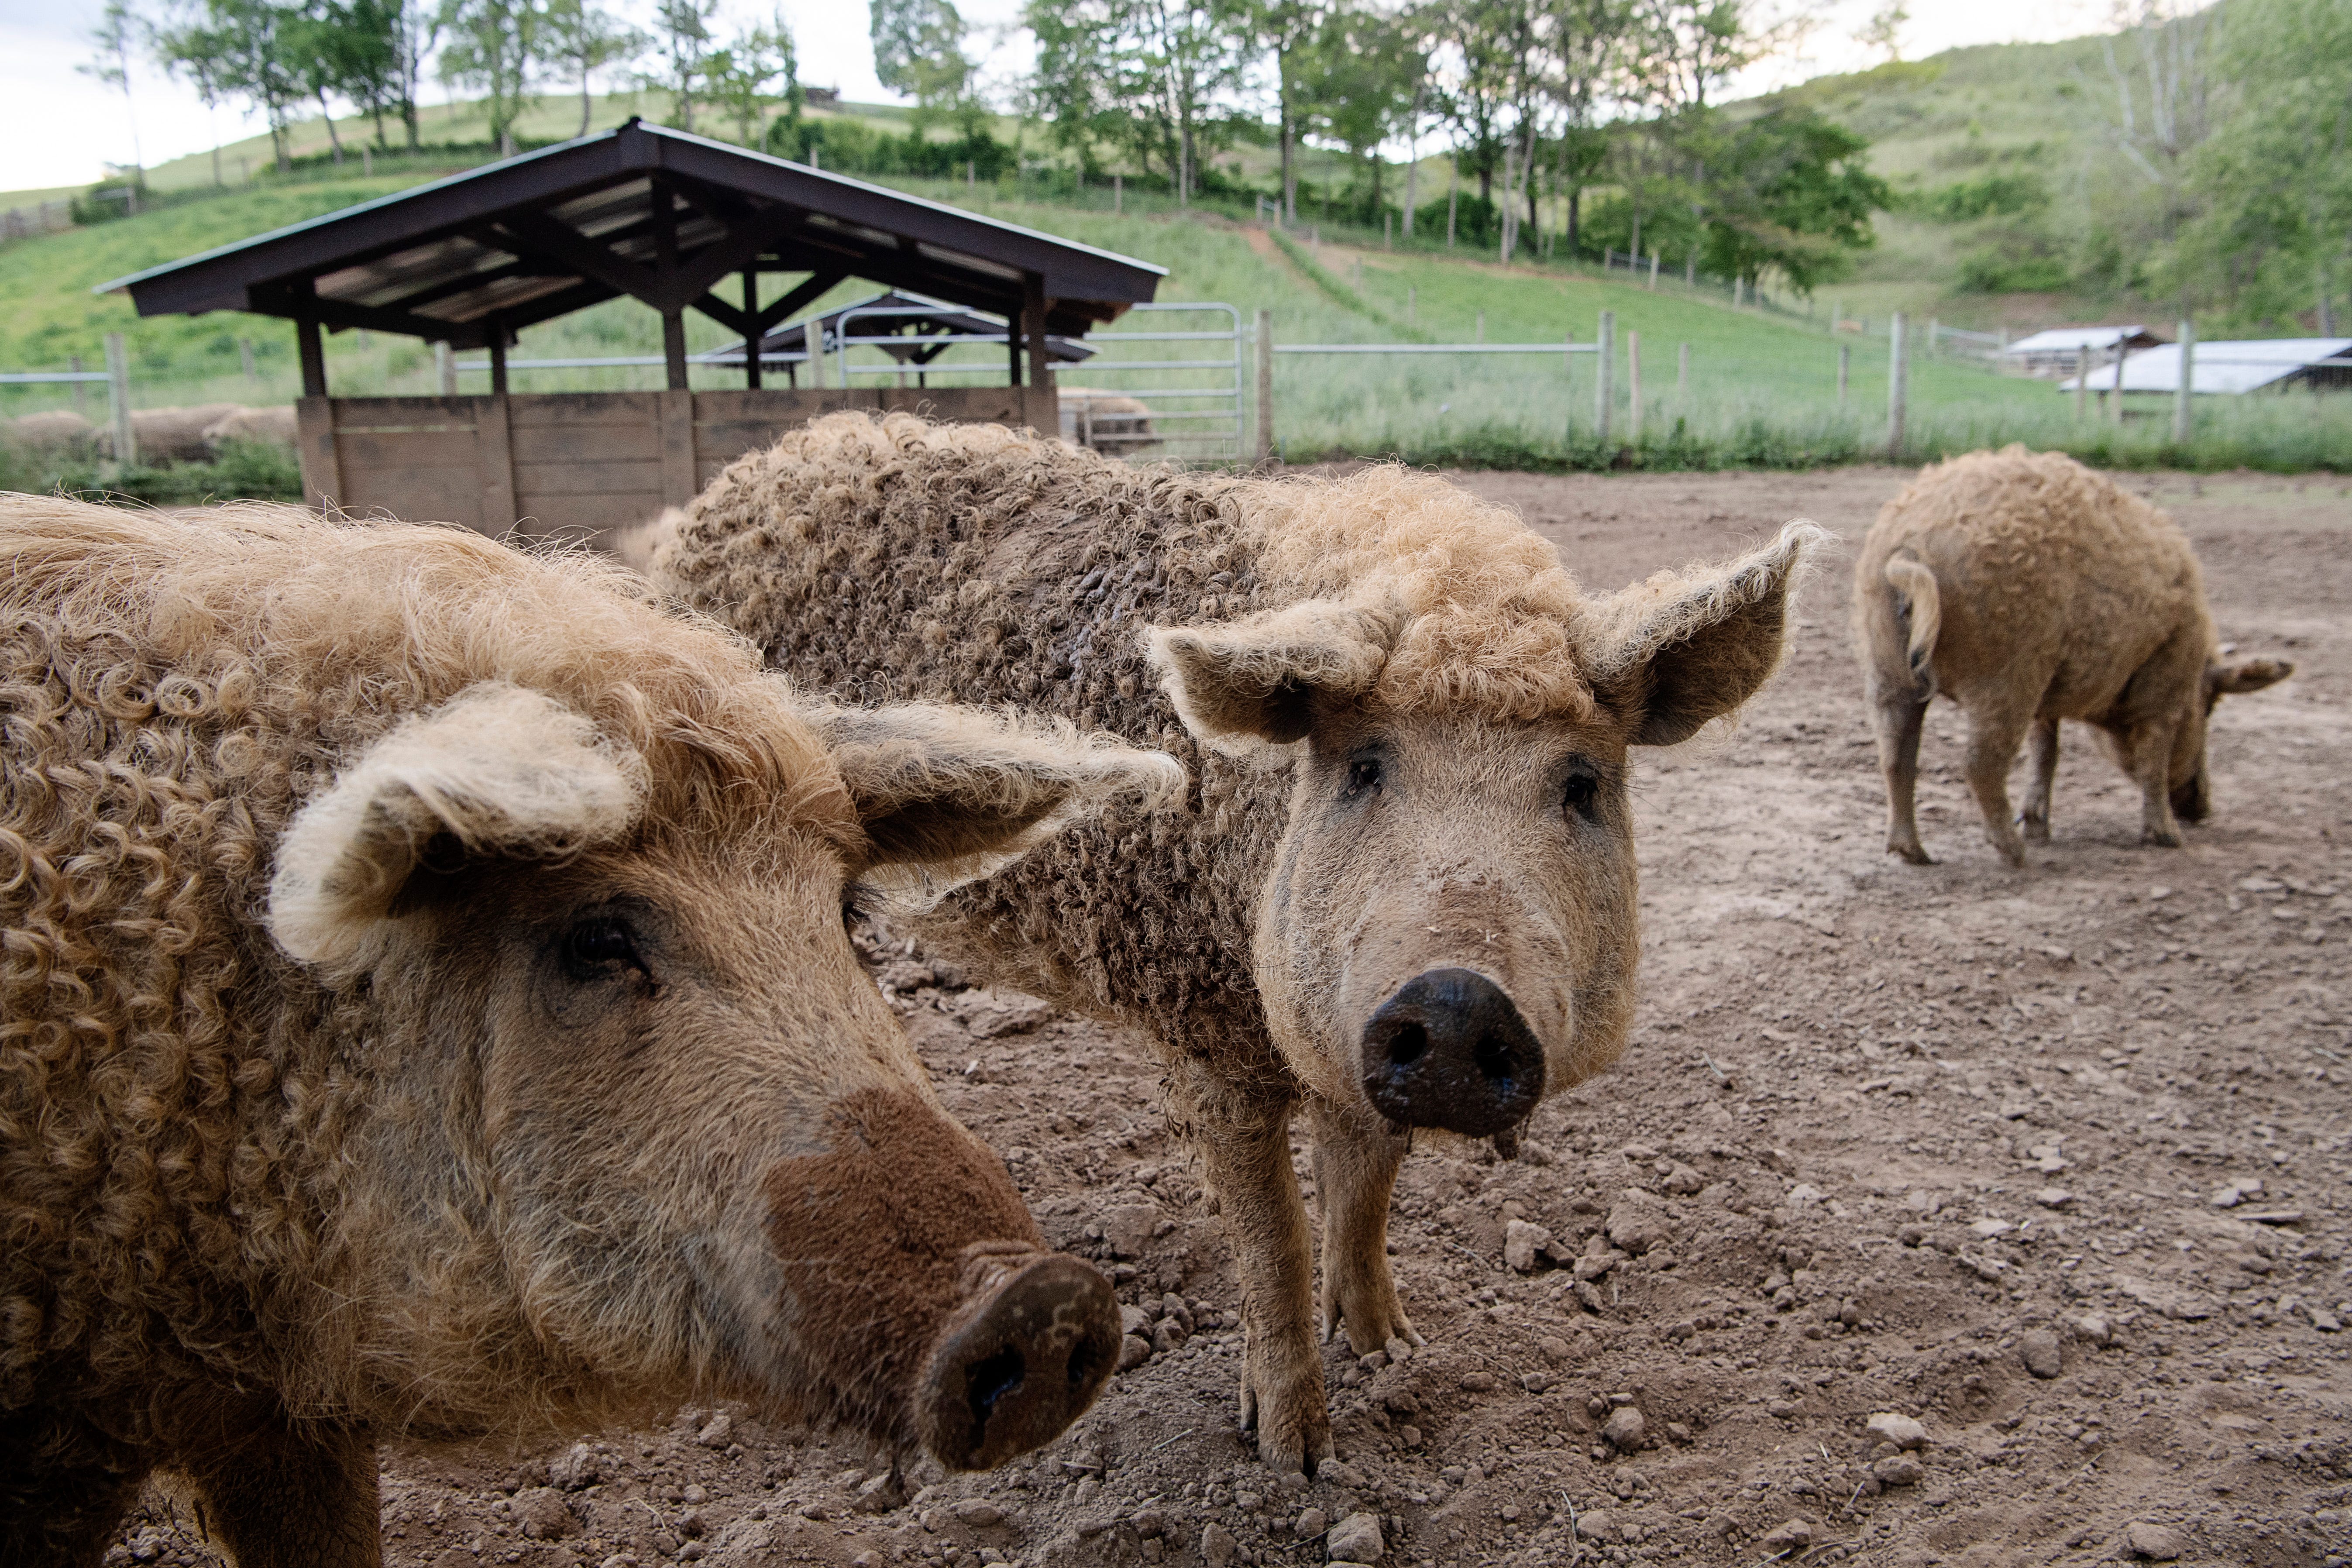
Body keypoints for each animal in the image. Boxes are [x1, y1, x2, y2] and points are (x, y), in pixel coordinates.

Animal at [639, 411, 1820, 1472]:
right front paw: (1295, 1459)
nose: (1454, 1000)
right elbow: (1272, 1235)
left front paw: (1393, 1348)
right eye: (1363, 767)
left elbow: (1364, 1183)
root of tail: (731, 487)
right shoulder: (1204, 1037)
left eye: (1580, 784)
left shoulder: (1345, 1030)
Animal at [1854, 446, 2291, 866]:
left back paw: (1916, 855)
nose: (2202, 810)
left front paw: (2041, 830)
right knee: (1979, 763)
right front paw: (2169, 839)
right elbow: (2154, 754)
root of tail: (1910, 549)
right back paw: (2016, 855)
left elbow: (2047, 750)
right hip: (2007, 671)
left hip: (1887, 665)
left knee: (1895, 753)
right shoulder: (2165, 681)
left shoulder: (2048, 694)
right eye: (2211, 707)